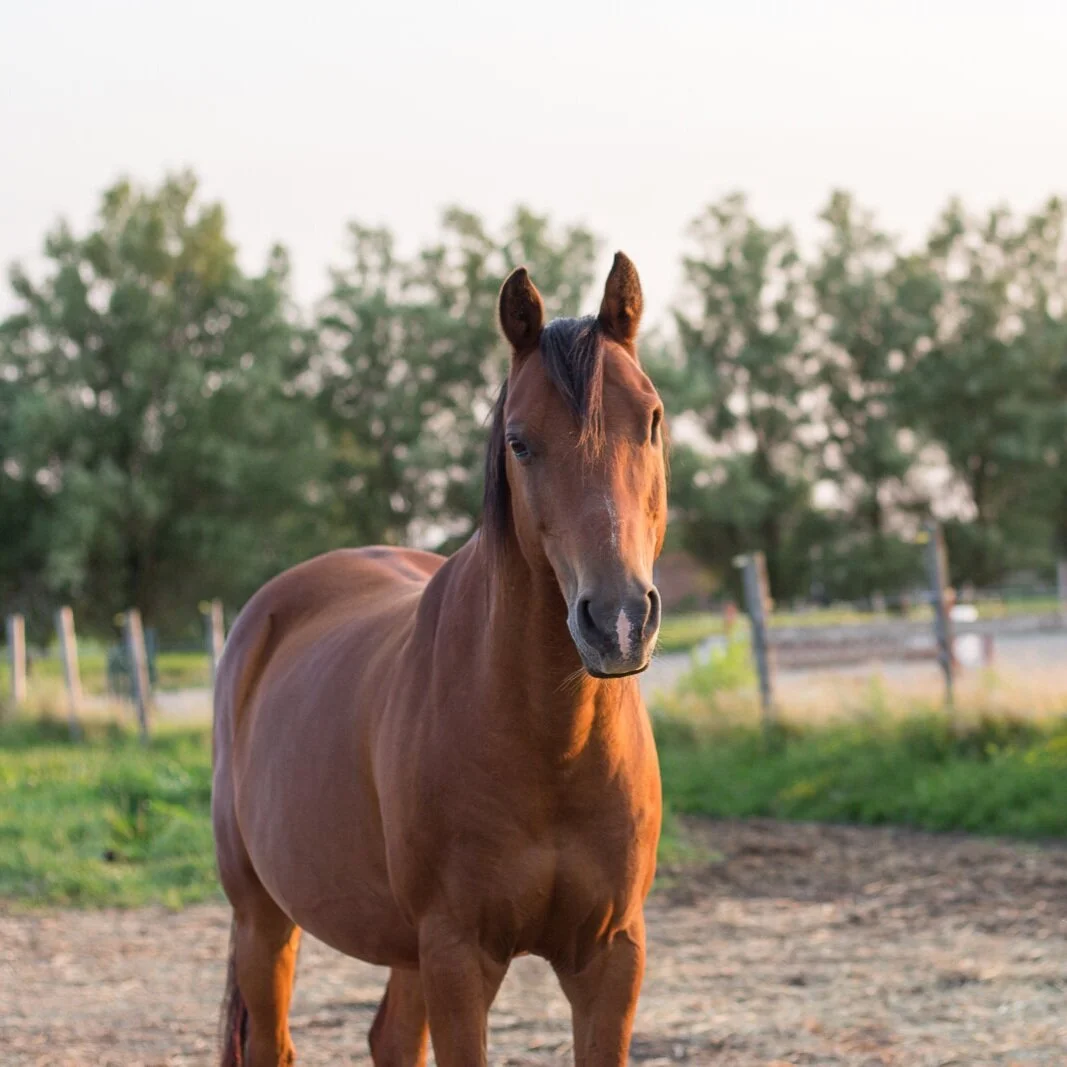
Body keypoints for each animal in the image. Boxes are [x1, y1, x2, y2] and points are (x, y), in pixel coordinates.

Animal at [212, 252, 668, 1066]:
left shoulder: (611, 956)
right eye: (519, 441)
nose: (616, 619)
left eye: (649, 420)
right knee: (271, 1040)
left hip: (402, 946)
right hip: (263, 920)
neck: (551, 744)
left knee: (389, 1038)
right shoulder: (460, 956)